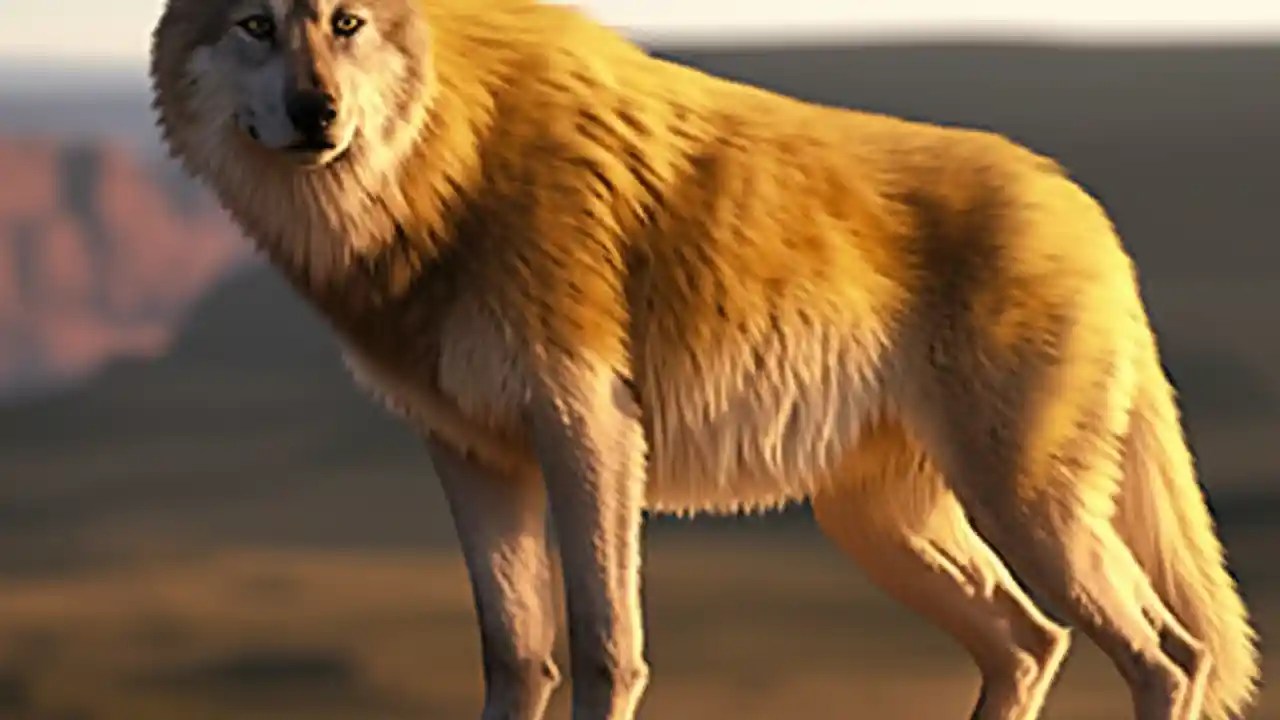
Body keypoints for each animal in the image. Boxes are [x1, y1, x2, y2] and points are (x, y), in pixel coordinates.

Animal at [150, 1, 1259, 718]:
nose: (318, 114)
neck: (440, 166)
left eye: (345, 21)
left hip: (1023, 512)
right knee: (1033, 641)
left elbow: (605, 651)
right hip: (885, 529)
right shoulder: (472, 458)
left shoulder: (589, 430)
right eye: (257, 24)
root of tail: (1084, 207)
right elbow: (515, 655)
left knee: (1170, 654)